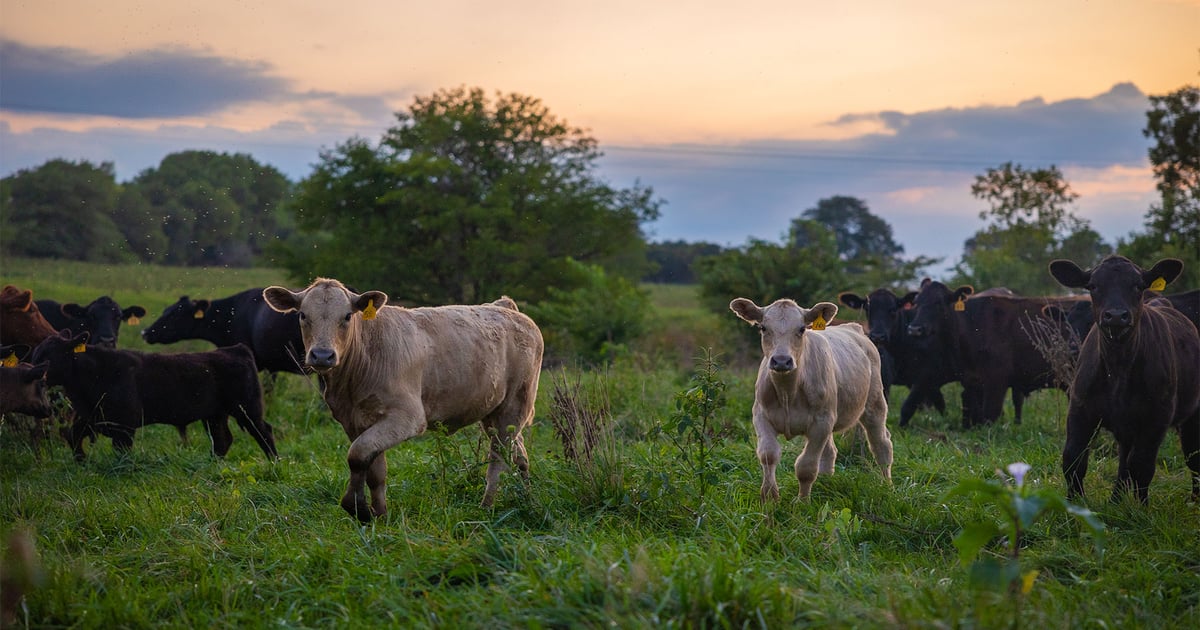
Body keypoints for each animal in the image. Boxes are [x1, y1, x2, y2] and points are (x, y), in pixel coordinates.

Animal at [30, 330, 278, 461]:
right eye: (36, 352)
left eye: (48, 356)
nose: (31, 371)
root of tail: (236, 349)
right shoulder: (90, 417)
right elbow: (72, 436)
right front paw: (81, 461)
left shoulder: (124, 427)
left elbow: (121, 454)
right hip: (214, 415)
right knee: (222, 440)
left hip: (248, 408)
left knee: (264, 432)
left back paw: (274, 462)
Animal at [263, 278, 544, 522]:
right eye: (302, 315)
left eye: (347, 316)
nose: (322, 355)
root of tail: (504, 306)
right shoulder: (355, 422)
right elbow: (374, 469)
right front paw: (379, 514)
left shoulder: (407, 417)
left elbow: (357, 455)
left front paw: (357, 507)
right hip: (494, 413)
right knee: (519, 455)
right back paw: (528, 500)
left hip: (514, 406)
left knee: (498, 458)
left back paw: (487, 507)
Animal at [729, 297, 893, 500]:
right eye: (763, 328)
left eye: (802, 329)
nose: (781, 361)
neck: (787, 392)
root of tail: (854, 328)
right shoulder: (761, 416)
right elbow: (768, 454)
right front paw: (769, 497)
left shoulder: (820, 423)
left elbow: (806, 467)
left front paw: (802, 502)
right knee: (830, 452)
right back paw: (825, 483)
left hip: (874, 404)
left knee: (881, 445)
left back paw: (888, 486)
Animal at [905, 281, 1080, 428]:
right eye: (916, 303)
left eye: (938, 303)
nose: (915, 329)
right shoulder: (972, 381)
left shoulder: (996, 380)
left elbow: (989, 415)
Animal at [1049, 255, 1200, 503]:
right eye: (1093, 286)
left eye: (1138, 286)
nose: (1117, 315)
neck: (1118, 367)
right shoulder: (1080, 409)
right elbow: (1073, 459)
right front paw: (1074, 505)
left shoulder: (1156, 417)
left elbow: (1142, 466)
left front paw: (1141, 509)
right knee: (1123, 460)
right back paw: (1115, 500)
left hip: (1191, 416)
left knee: (1192, 455)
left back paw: (1194, 500)